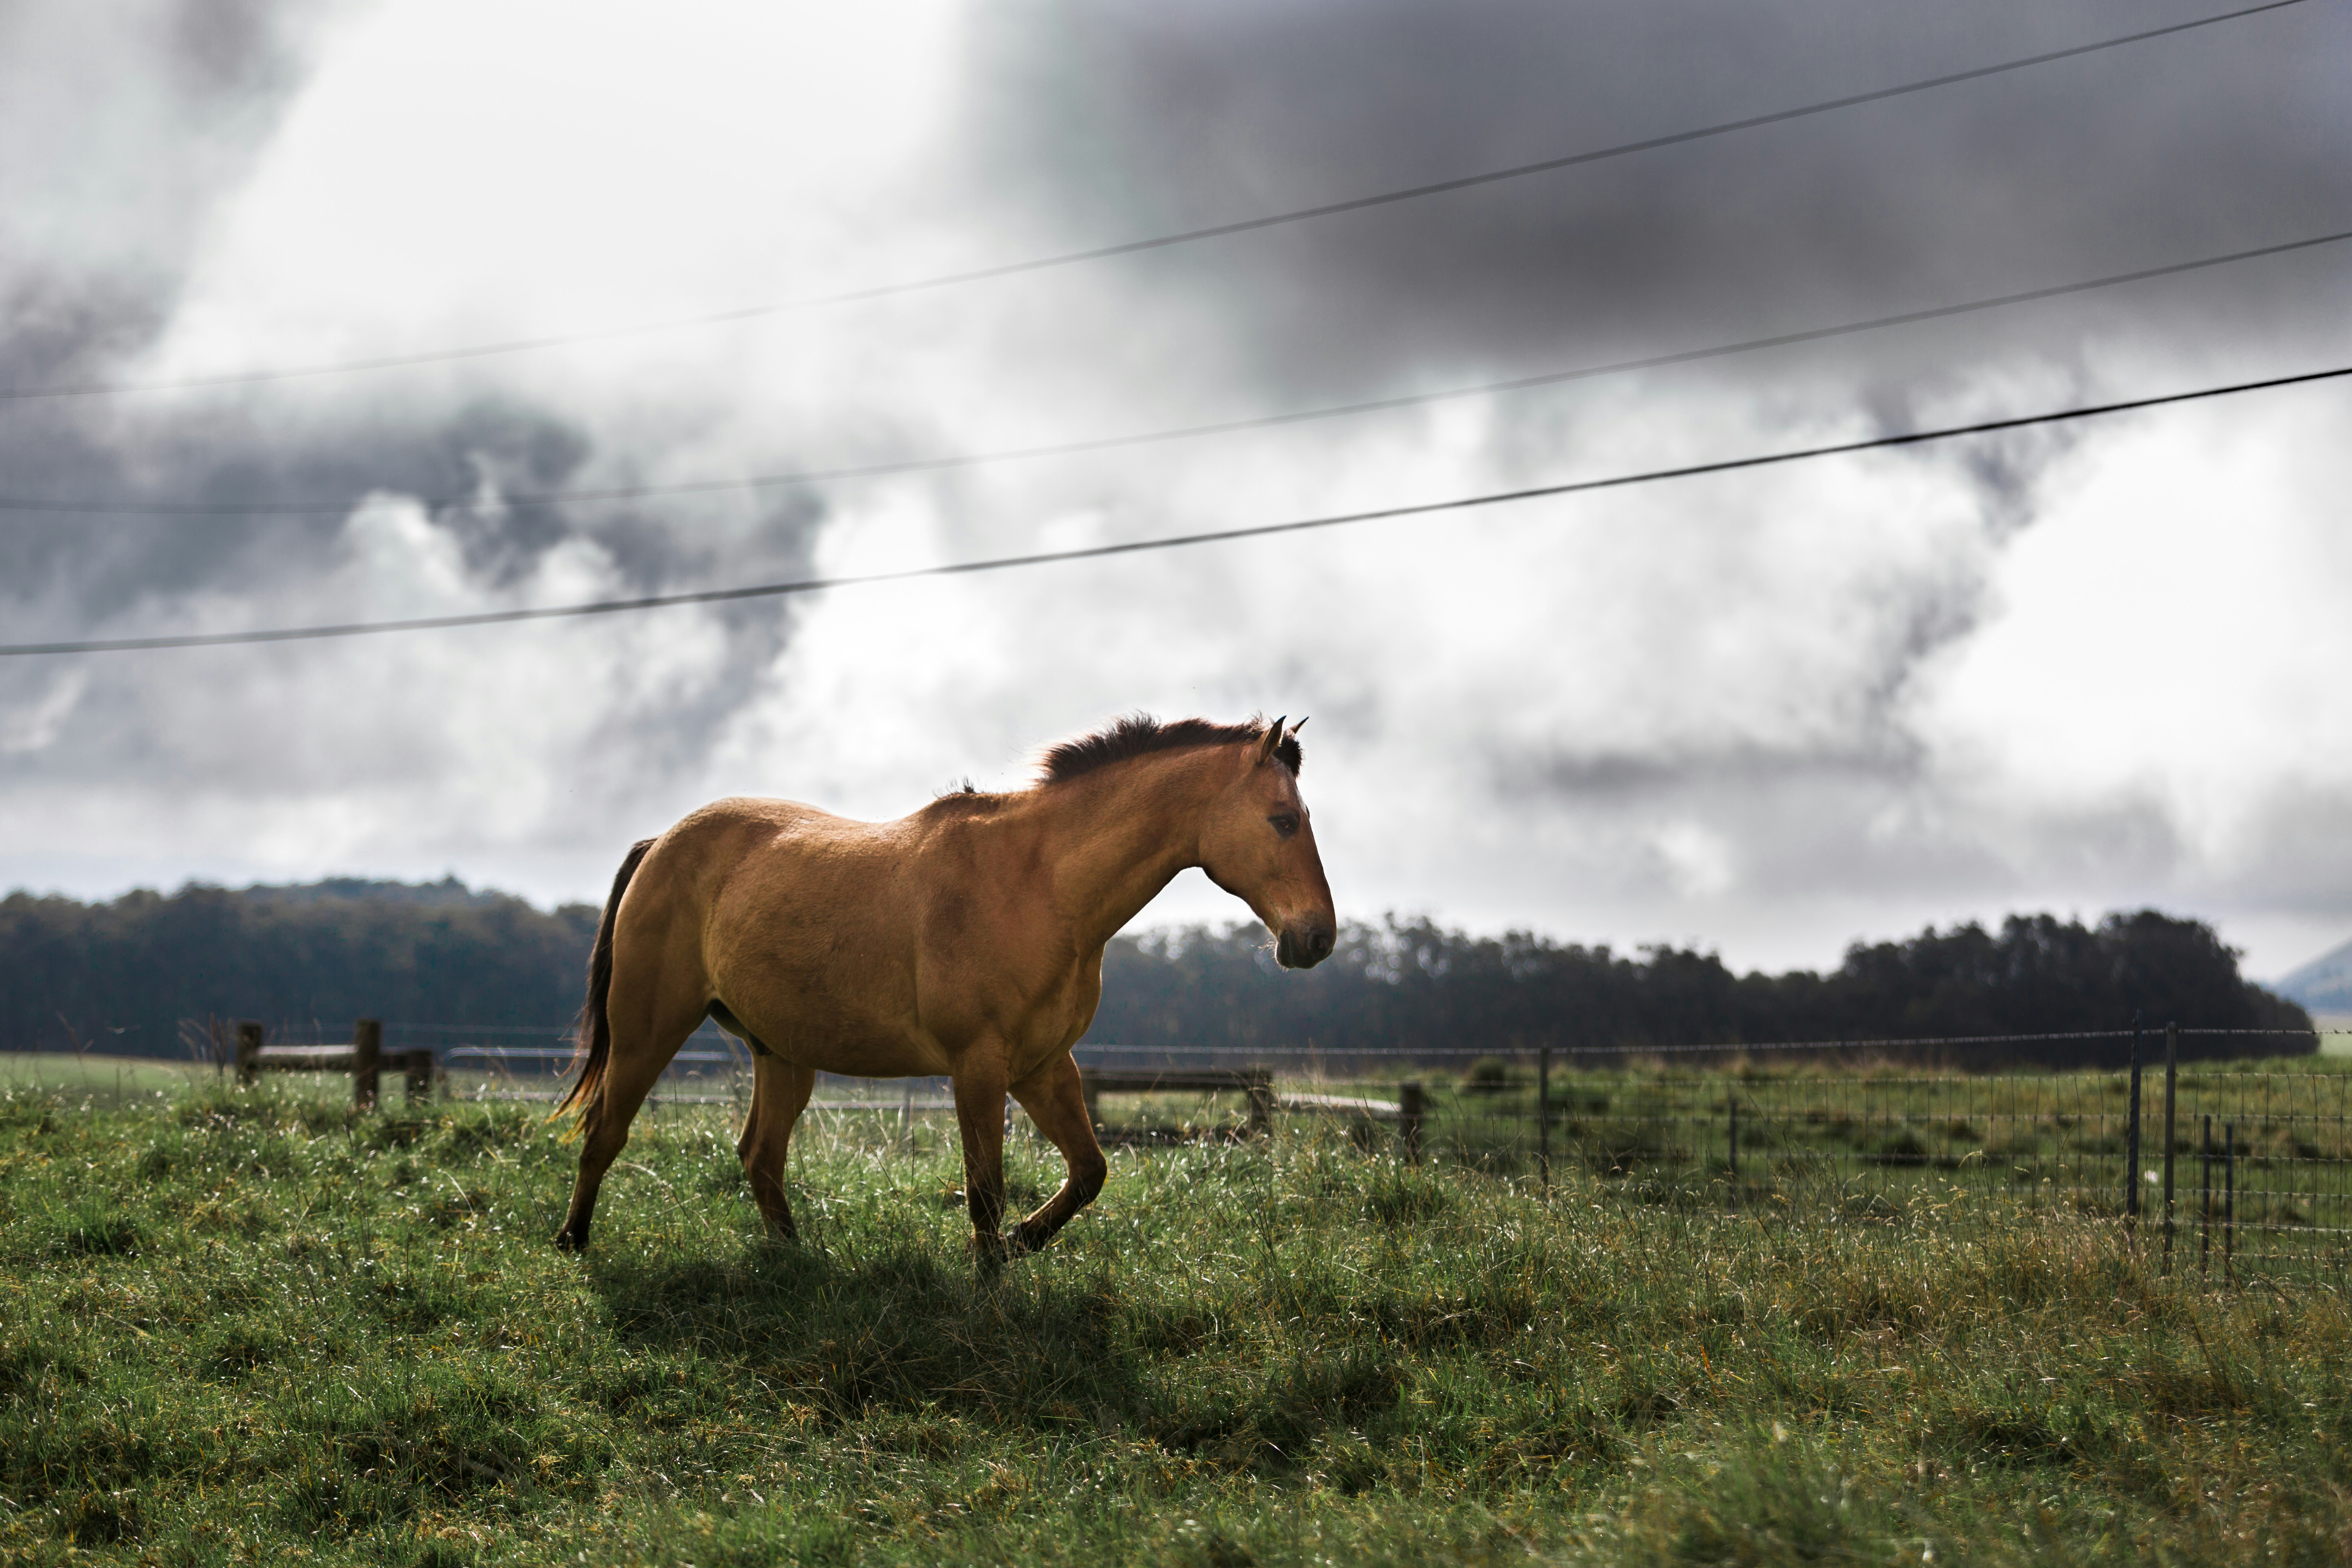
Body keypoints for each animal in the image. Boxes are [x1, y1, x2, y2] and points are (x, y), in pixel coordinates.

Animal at [552, 713, 1336, 1260]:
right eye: (1282, 821)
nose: (1318, 940)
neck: (1038, 885)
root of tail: (662, 843)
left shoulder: (1044, 1067)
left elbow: (1089, 1172)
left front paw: (1019, 1246)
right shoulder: (978, 1068)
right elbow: (985, 1193)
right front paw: (989, 1283)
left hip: (783, 1055)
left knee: (760, 1155)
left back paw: (796, 1259)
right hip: (648, 1033)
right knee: (606, 1133)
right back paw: (574, 1243)